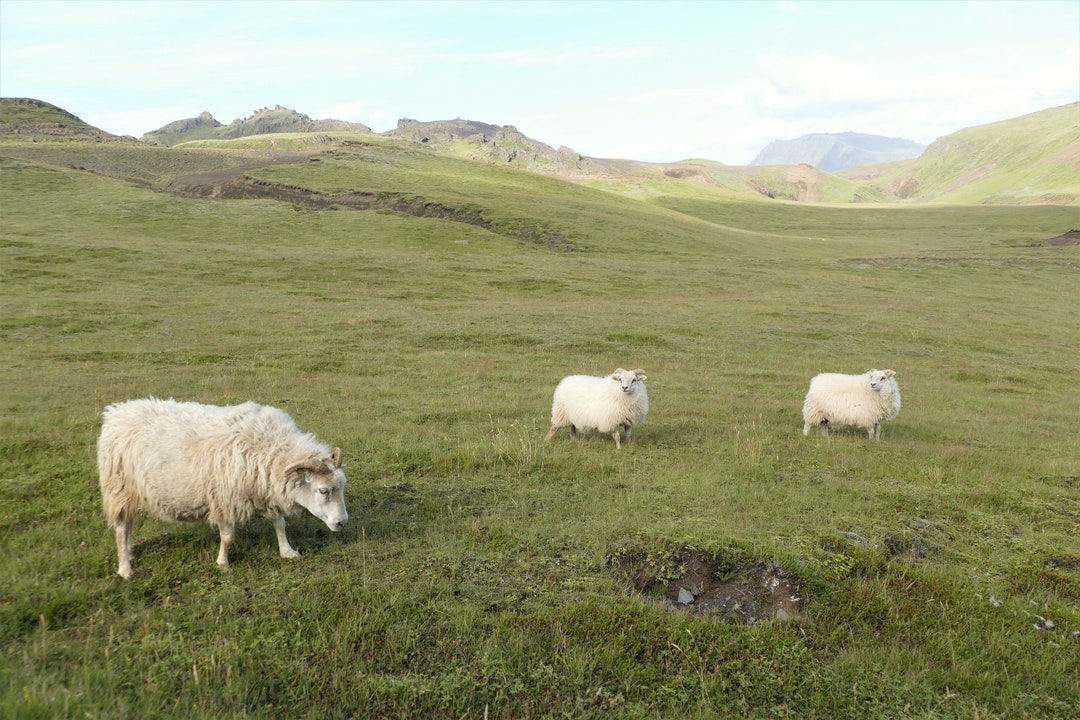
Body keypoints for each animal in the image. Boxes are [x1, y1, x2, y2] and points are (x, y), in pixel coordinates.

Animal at [97, 397, 348, 579]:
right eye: (323, 490)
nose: (342, 523)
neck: (269, 446)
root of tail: (116, 413)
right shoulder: (224, 499)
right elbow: (228, 537)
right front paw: (223, 564)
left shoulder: (264, 489)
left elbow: (280, 524)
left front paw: (288, 552)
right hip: (118, 489)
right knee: (121, 528)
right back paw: (125, 569)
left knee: (128, 527)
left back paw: (129, 553)